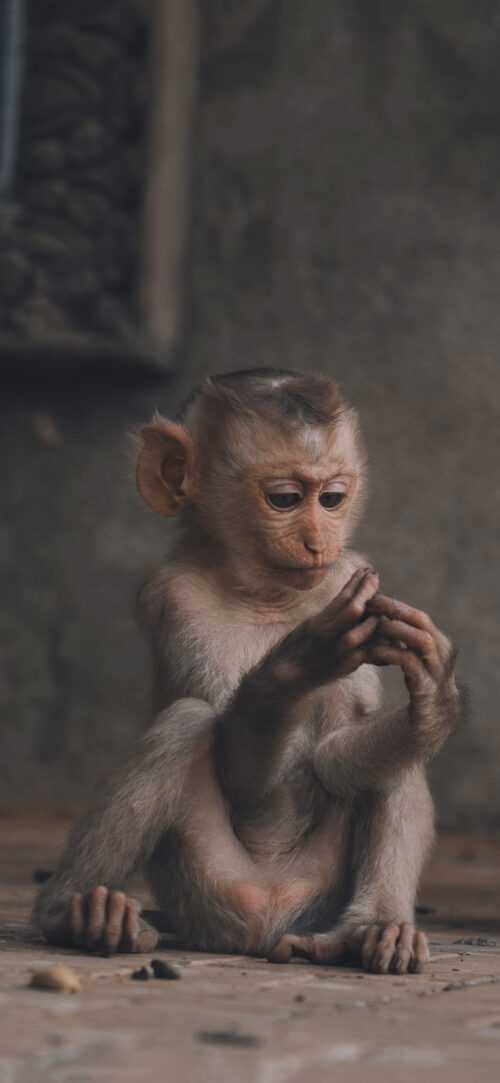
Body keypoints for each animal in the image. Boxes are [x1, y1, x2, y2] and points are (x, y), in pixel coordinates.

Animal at [33, 368, 461, 974]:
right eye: (285, 499)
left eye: (333, 499)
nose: (317, 541)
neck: (266, 595)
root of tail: (267, 925)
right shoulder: (176, 597)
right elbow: (242, 774)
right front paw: (296, 665)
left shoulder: (349, 574)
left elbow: (337, 755)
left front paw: (433, 699)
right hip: (205, 888)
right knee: (187, 722)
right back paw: (74, 912)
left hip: (320, 890)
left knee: (394, 763)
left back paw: (370, 929)